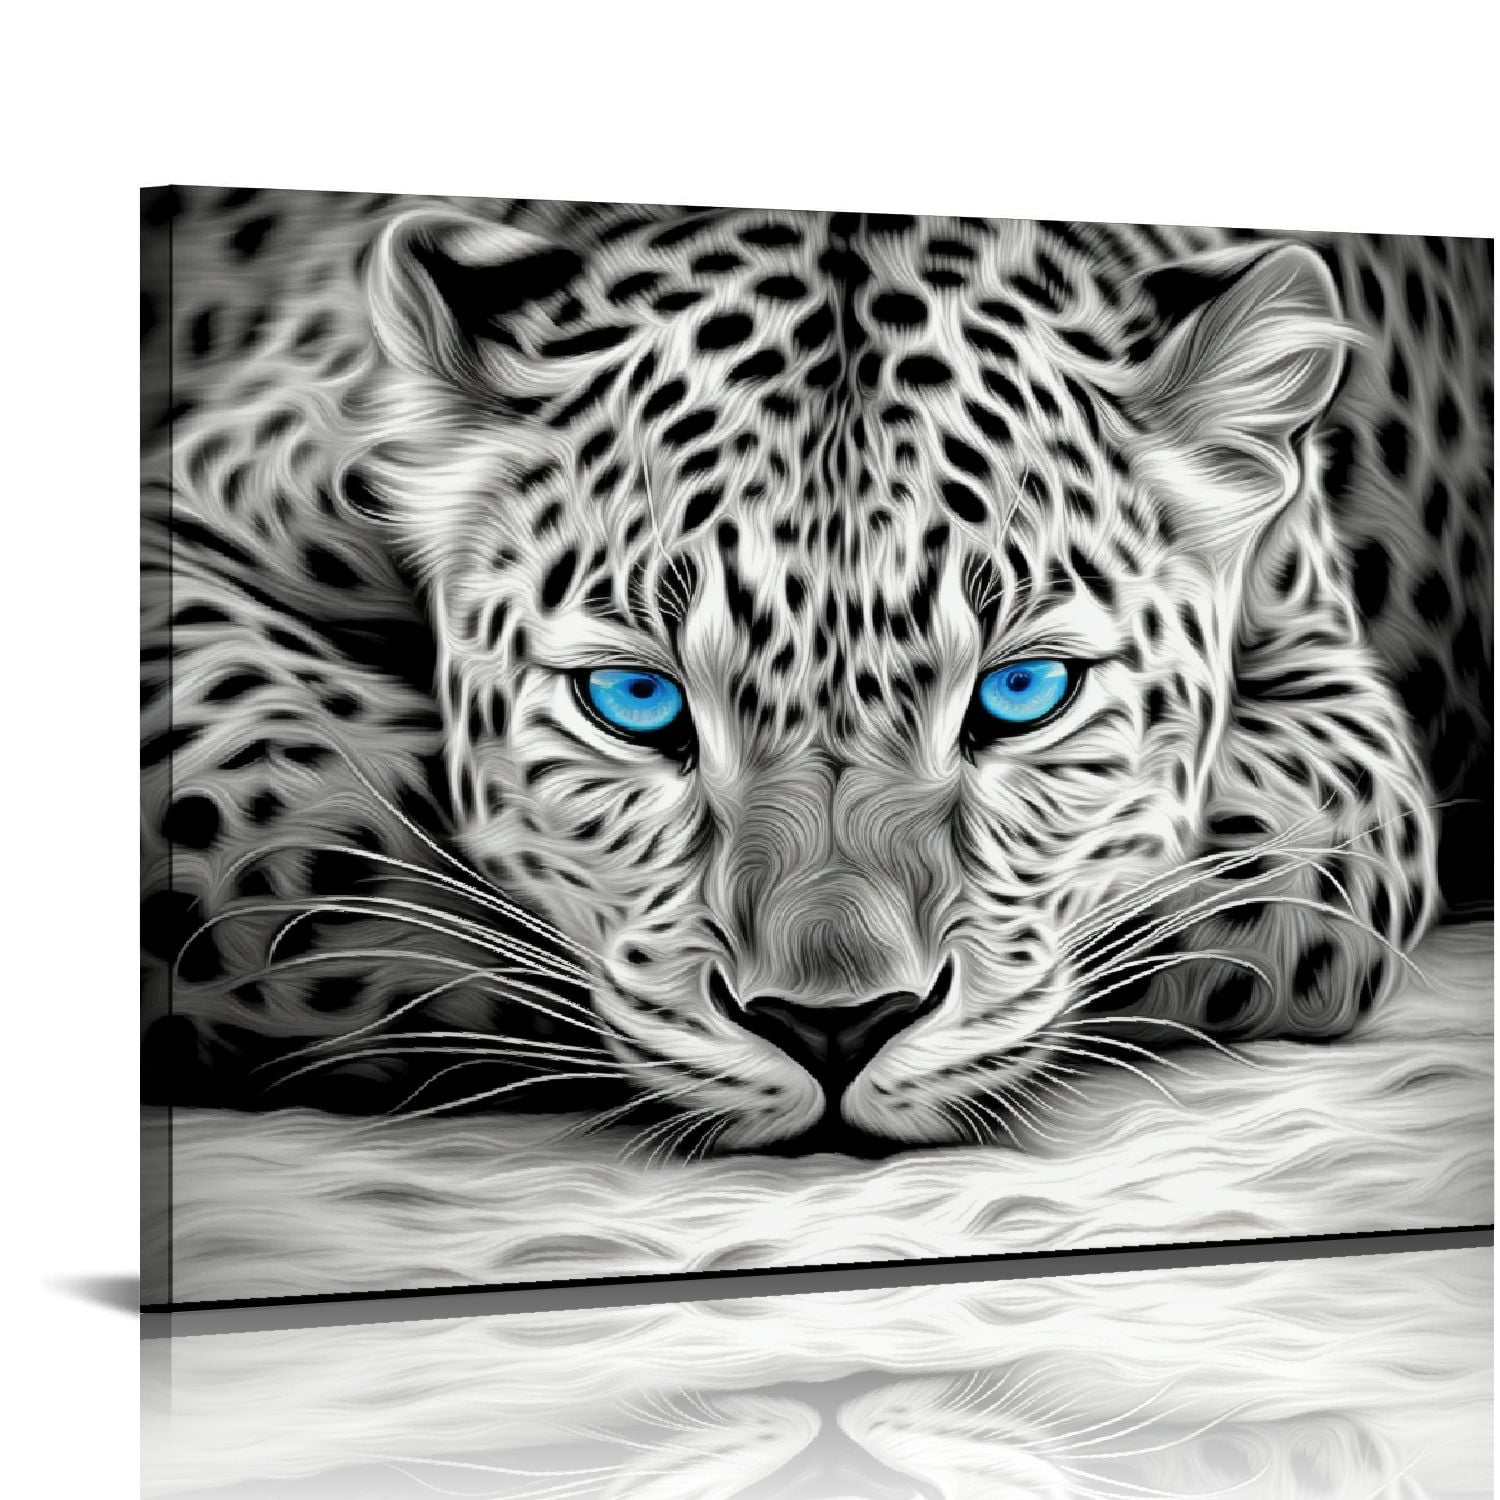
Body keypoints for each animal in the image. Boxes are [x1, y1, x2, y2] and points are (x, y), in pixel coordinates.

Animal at [141, 188, 1493, 1154]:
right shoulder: (184, 540)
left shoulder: (1338, 704)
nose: (834, 1030)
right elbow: (313, 849)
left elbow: (1254, 884)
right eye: (635, 703)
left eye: (1023, 695)